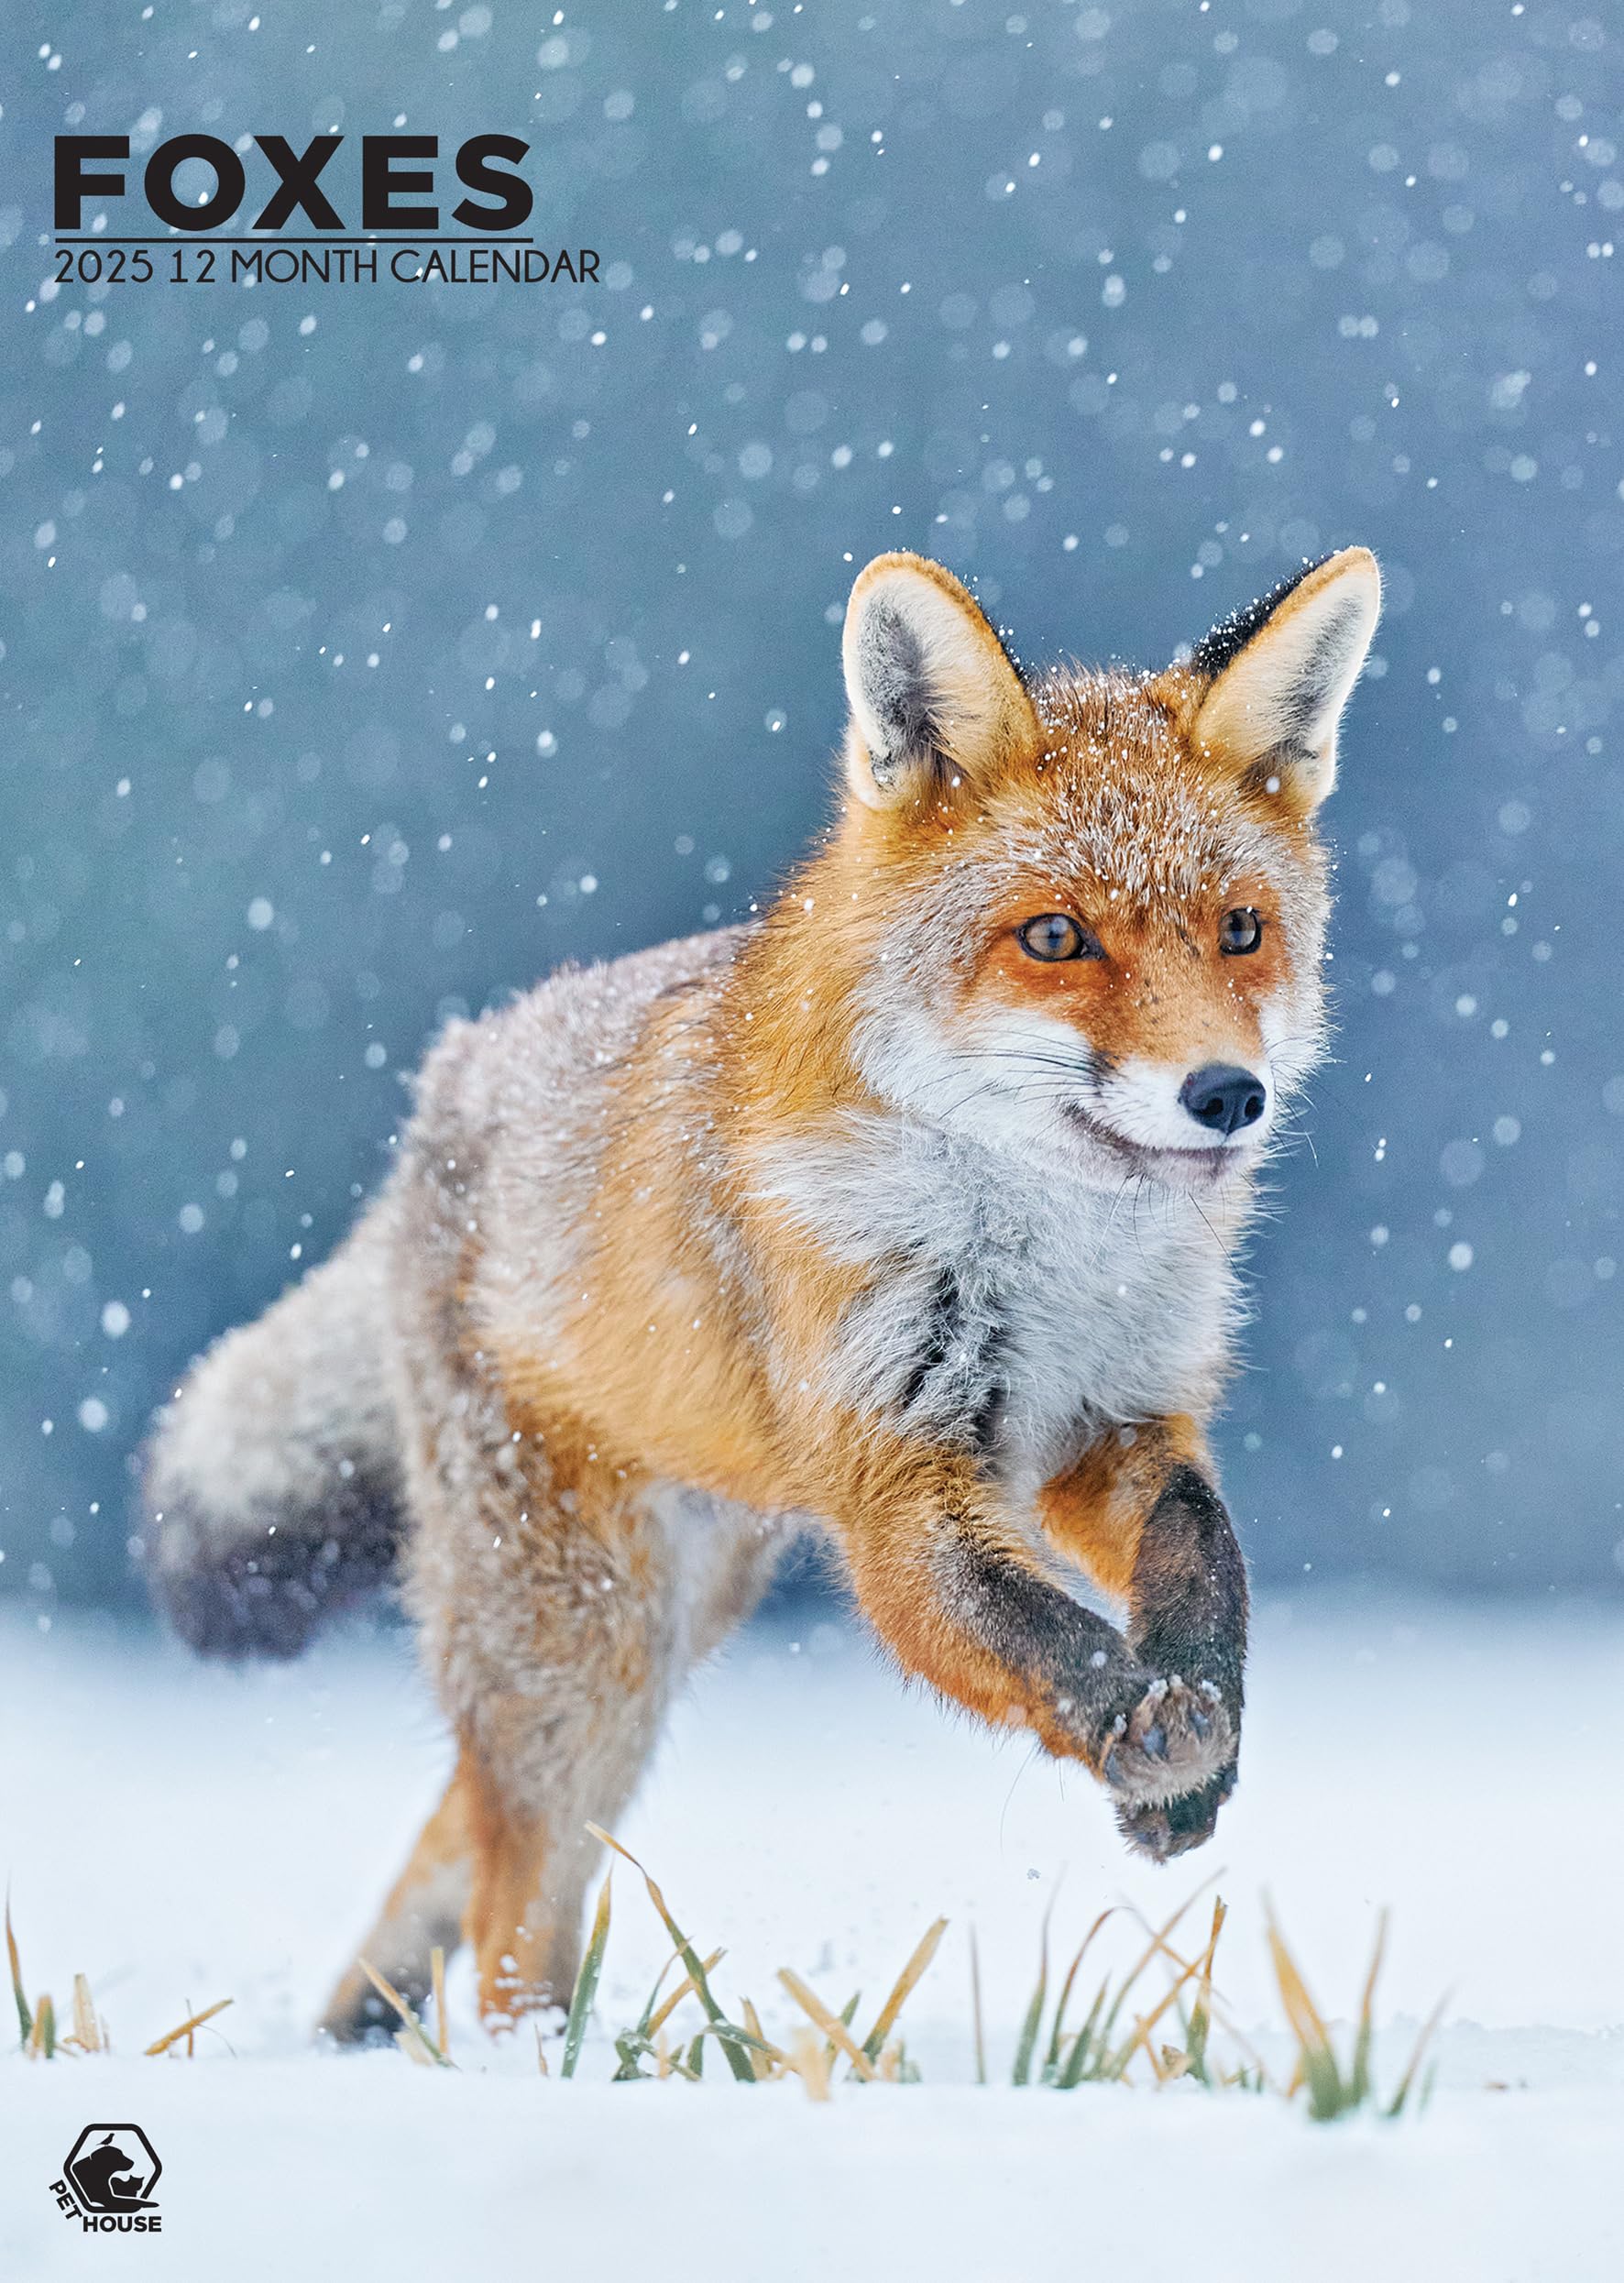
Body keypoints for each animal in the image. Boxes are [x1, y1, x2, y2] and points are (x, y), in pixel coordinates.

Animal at [143, 543, 1381, 2041]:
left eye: (1242, 930)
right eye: (1054, 937)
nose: (1227, 1094)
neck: (1051, 1260)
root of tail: (448, 1084)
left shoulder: (1119, 1422)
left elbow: (1207, 1566)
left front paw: (1202, 1736)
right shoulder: (894, 1479)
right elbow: (1033, 1632)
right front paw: (1137, 1731)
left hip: (666, 1615)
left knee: (464, 1834)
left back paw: (355, 2031)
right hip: (582, 1641)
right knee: (513, 1898)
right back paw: (524, 2061)